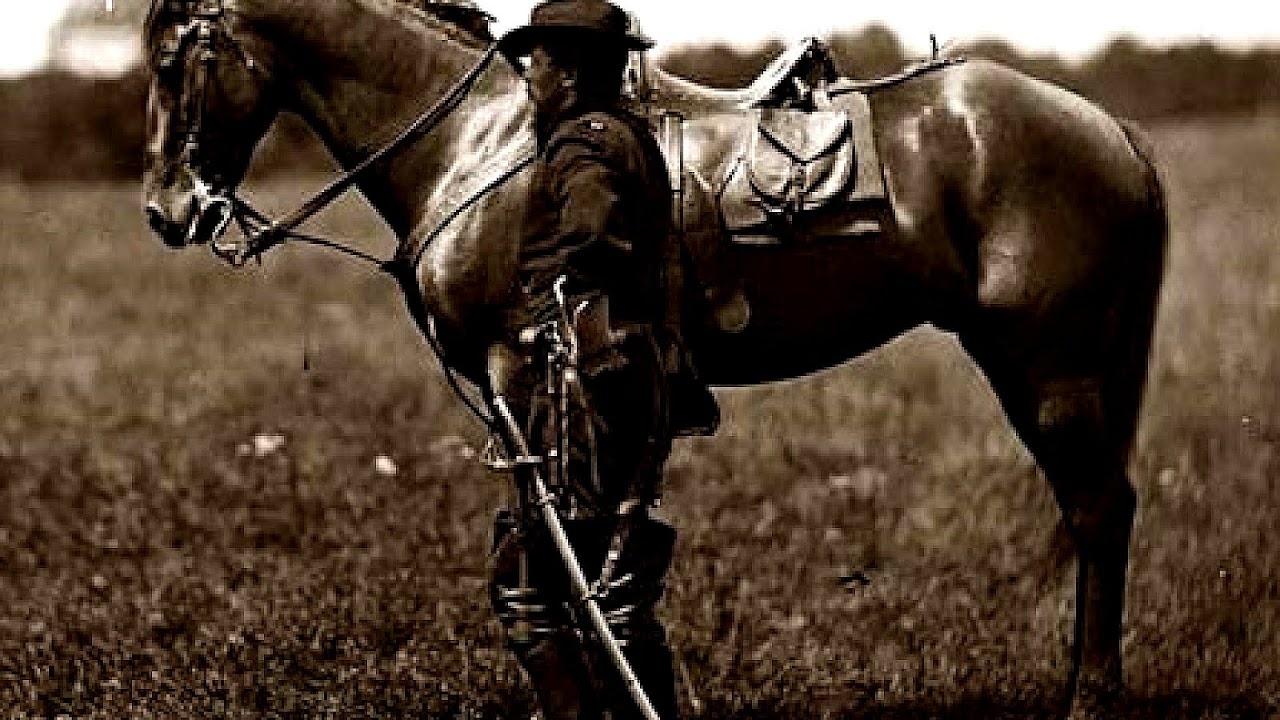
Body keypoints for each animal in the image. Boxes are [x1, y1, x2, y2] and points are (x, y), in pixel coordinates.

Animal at [139, 0, 1167, 714]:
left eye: (170, 58)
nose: (166, 209)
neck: (480, 143)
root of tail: (1112, 131)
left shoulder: (524, 375)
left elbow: (554, 560)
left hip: (1051, 371)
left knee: (1098, 513)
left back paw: (1091, 698)